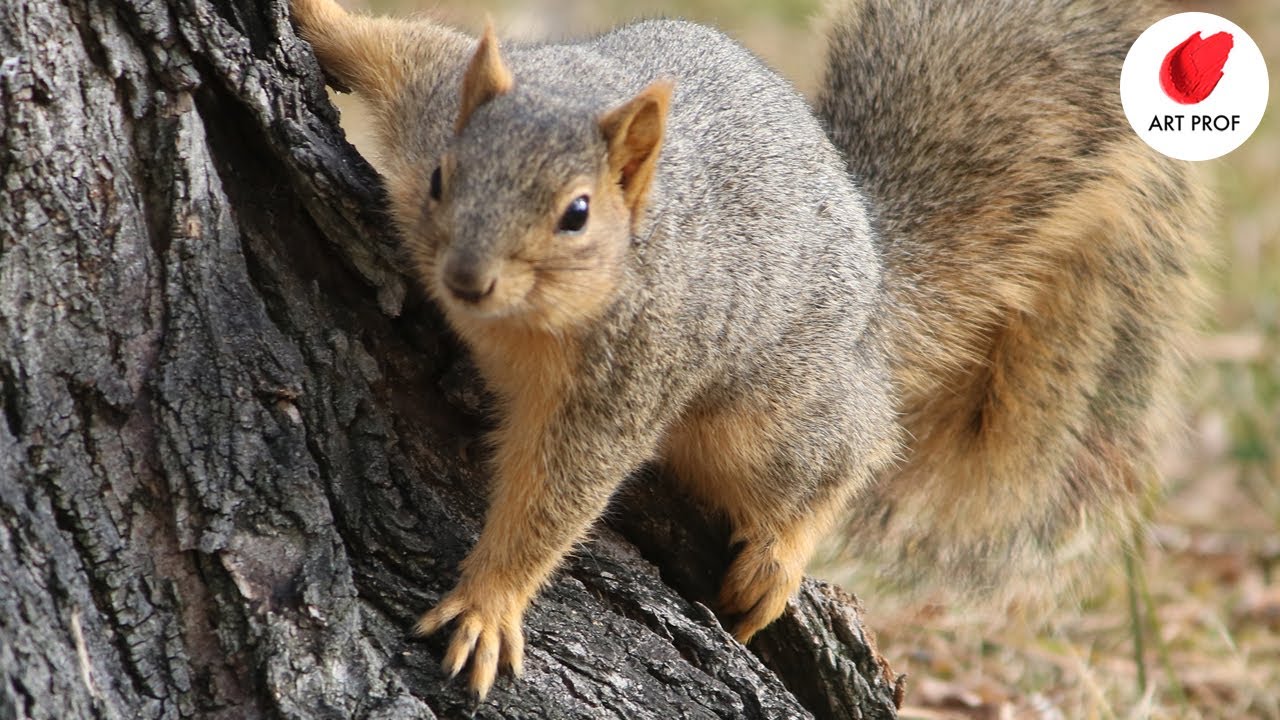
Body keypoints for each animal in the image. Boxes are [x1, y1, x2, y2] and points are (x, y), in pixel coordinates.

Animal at [290, 0, 1209, 699]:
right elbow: (396, 44)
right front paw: (313, 14)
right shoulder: (432, 95)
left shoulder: (630, 374)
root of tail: (875, 285)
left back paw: (781, 553)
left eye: (577, 214)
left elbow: (558, 497)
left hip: (770, 418)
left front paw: (489, 603)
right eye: (441, 178)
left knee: (853, 449)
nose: (465, 280)